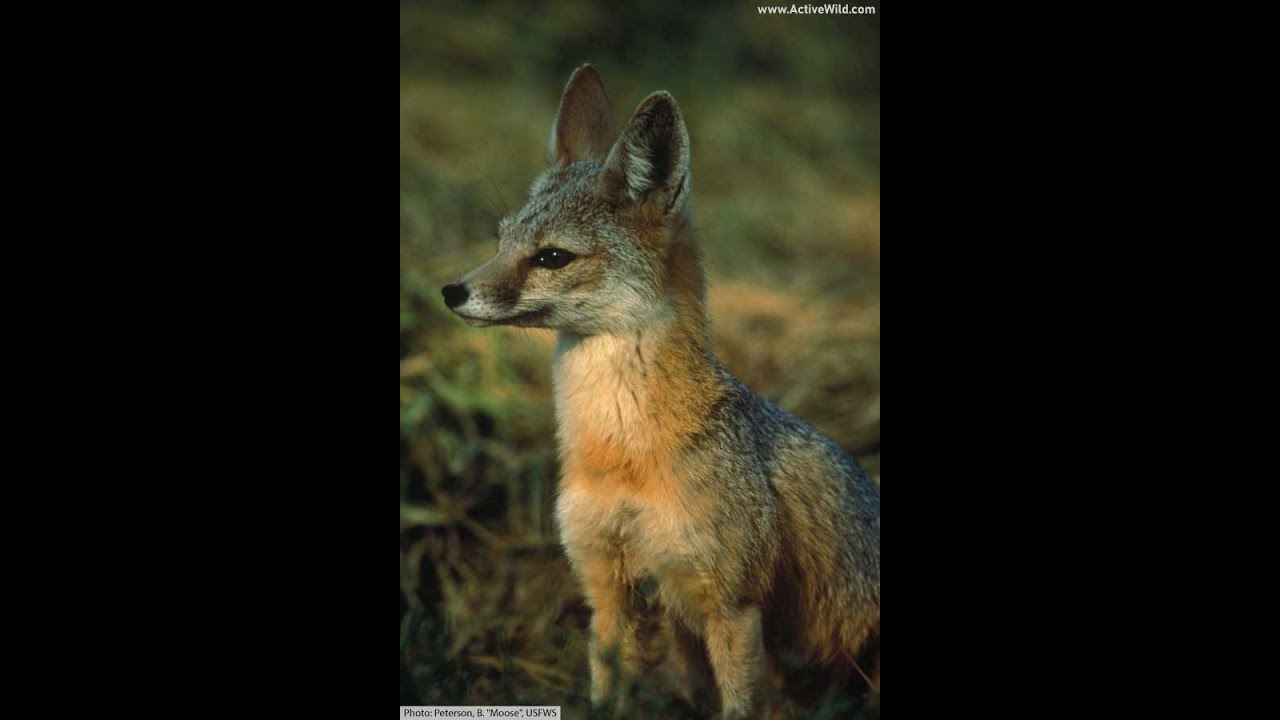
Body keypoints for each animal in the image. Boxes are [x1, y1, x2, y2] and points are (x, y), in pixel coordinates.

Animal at [441, 65, 880, 718]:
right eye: (500, 240)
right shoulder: (608, 591)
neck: (623, 453)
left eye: (552, 257)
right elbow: (606, 692)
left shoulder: (732, 605)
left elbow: (740, 705)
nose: (451, 291)